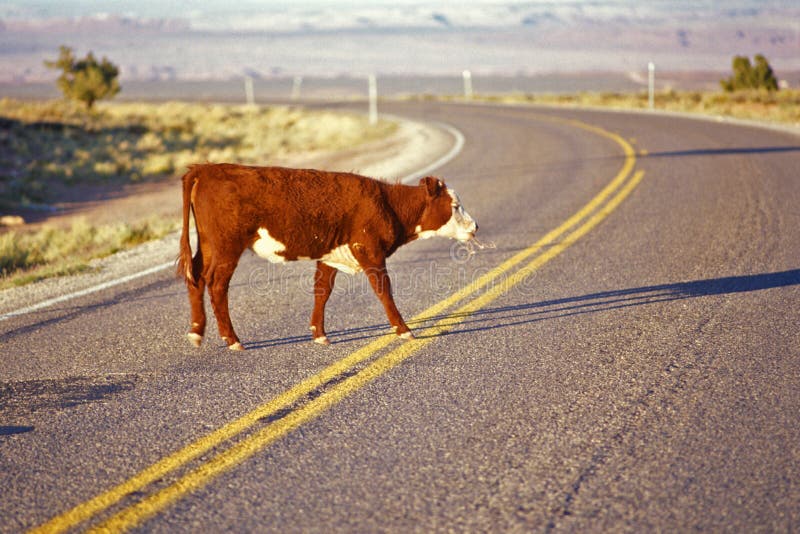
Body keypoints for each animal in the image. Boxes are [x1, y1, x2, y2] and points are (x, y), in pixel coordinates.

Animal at [177, 163, 478, 350]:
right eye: (454, 205)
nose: (475, 226)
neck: (386, 203)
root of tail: (207, 168)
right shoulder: (369, 251)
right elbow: (383, 290)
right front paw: (404, 329)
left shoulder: (331, 255)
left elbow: (322, 291)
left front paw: (319, 334)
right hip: (226, 246)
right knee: (217, 284)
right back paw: (232, 339)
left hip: (209, 244)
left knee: (196, 276)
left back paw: (196, 332)